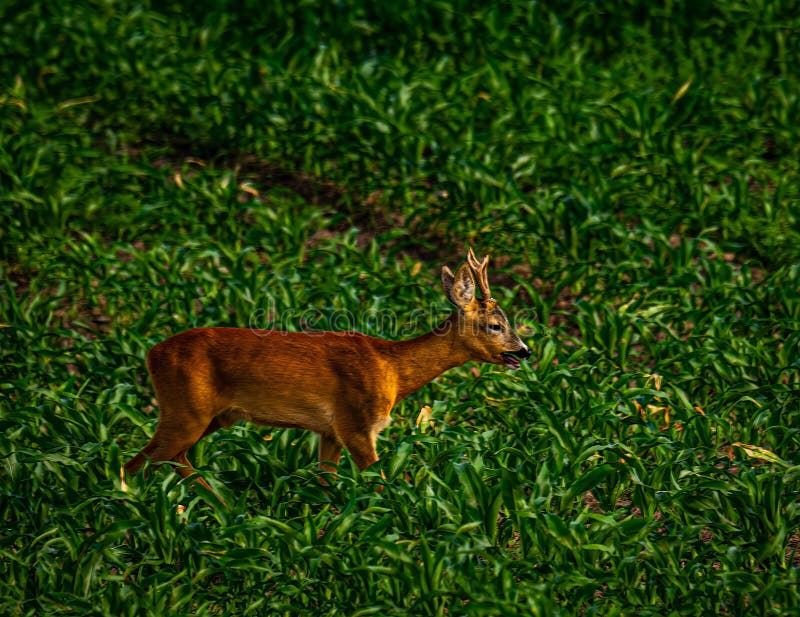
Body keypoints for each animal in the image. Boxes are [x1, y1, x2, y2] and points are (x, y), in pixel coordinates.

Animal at [124, 248, 531, 502]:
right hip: (185, 409)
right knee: (137, 461)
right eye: (495, 325)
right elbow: (382, 484)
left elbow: (325, 483)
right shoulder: (357, 422)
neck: (391, 369)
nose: (524, 351)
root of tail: (151, 354)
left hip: (213, 416)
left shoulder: (329, 431)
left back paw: (222, 507)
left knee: (171, 458)